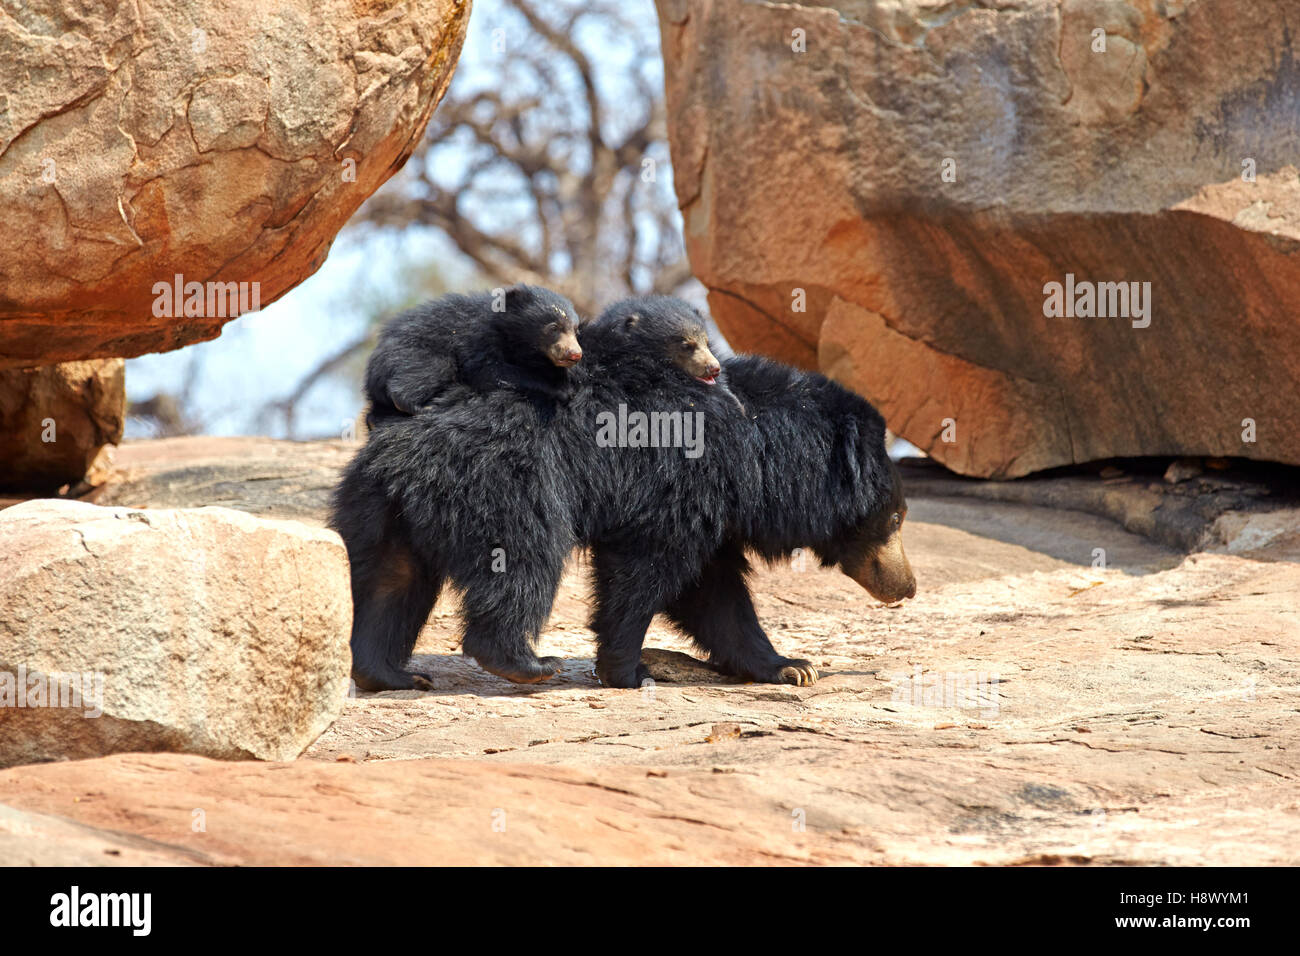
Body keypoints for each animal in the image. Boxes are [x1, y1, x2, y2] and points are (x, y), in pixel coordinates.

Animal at [363, 285, 582, 427]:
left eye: (575, 330)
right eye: (553, 328)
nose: (575, 354)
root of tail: (372, 371)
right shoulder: (477, 338)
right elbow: (488, 371)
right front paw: (561, 389)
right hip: (410, 353)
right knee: (431, 369)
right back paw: (422, 408)